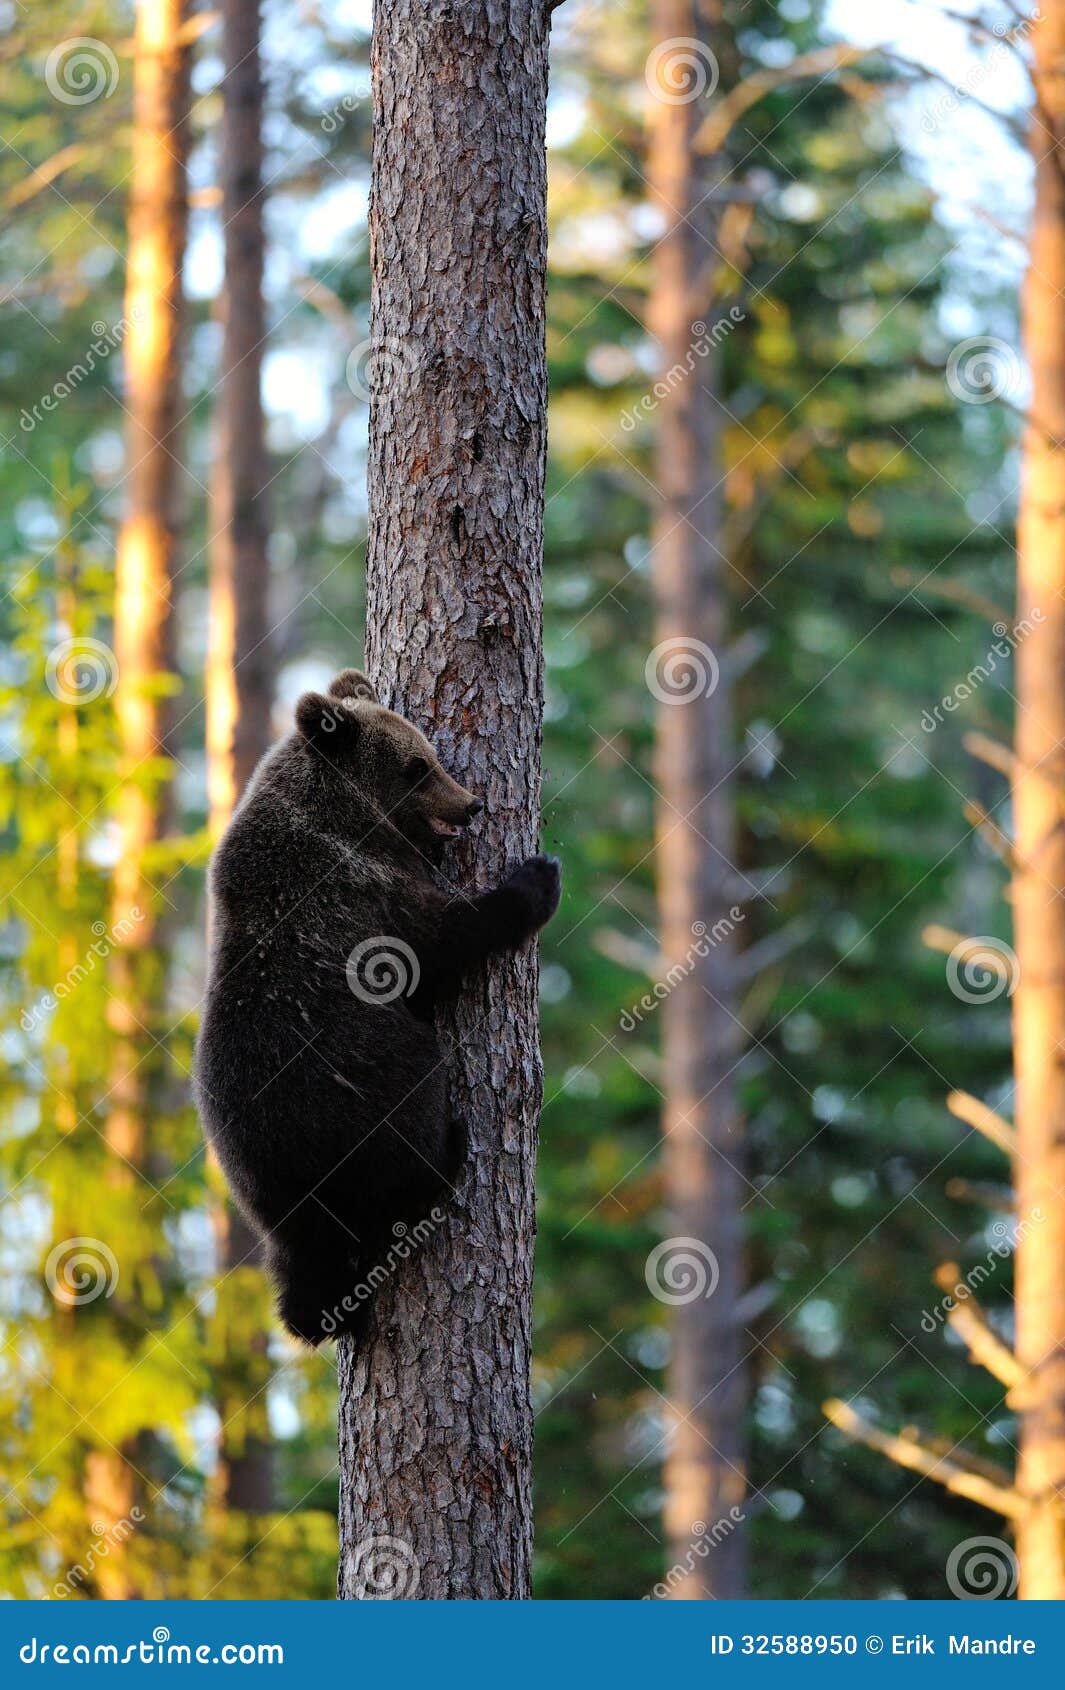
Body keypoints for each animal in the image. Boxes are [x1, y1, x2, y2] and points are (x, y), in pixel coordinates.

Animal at [193, 667, 561, 1347]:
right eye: (416, 767)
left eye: (434, 755)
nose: (470, 804)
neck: (342, 821)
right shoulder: (360, 900)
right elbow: (443, 939)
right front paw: (536, 879)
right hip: (362, 1091)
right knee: (406, 1144)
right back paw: (451, 1148)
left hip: (253, 1182)